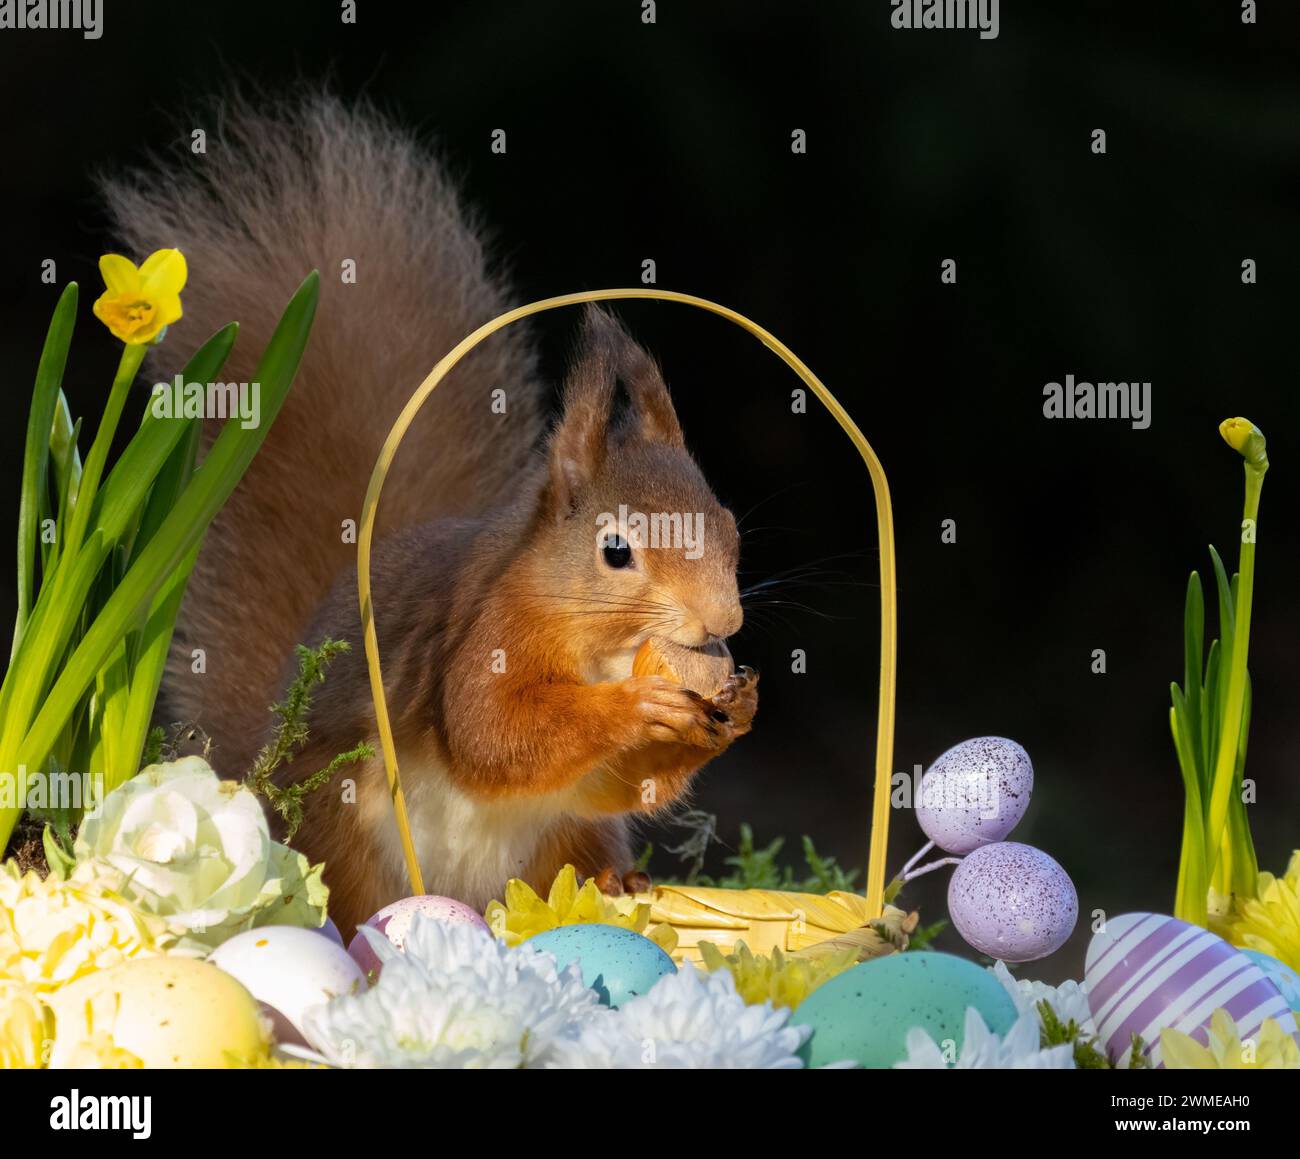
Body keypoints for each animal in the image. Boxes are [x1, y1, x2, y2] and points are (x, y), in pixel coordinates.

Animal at [104, 95, 757, 936]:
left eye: (731, 527)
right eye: (615, 550)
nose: (723, 620)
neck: (602, 643)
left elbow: (615, 782)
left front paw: (739, 704)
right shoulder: (489, 635)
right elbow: (492, 733)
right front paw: (635, 705)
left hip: (567, 840)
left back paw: (622, 882)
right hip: (345, 844)